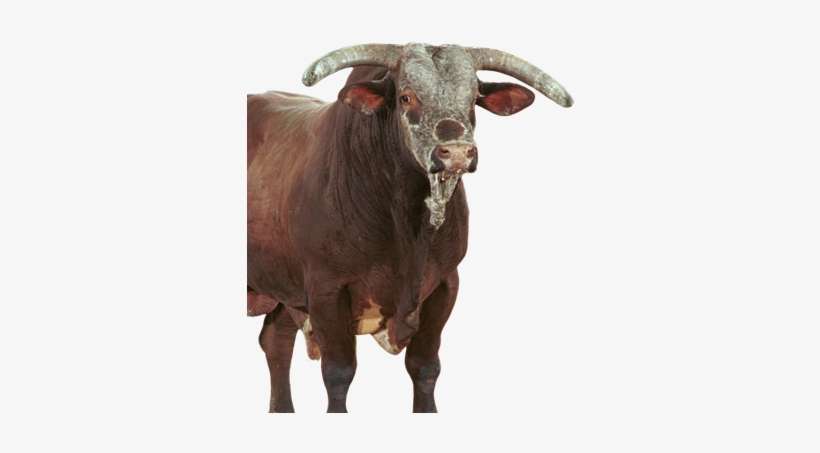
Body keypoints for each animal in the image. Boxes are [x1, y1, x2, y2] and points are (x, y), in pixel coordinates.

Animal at [247, 43, 572, 413]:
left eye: (473, 96)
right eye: (406, 96)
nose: (456, 153)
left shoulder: (445, 284)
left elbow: (425, 366)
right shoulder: (325, 289)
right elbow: (339, 372)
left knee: (276, 340)